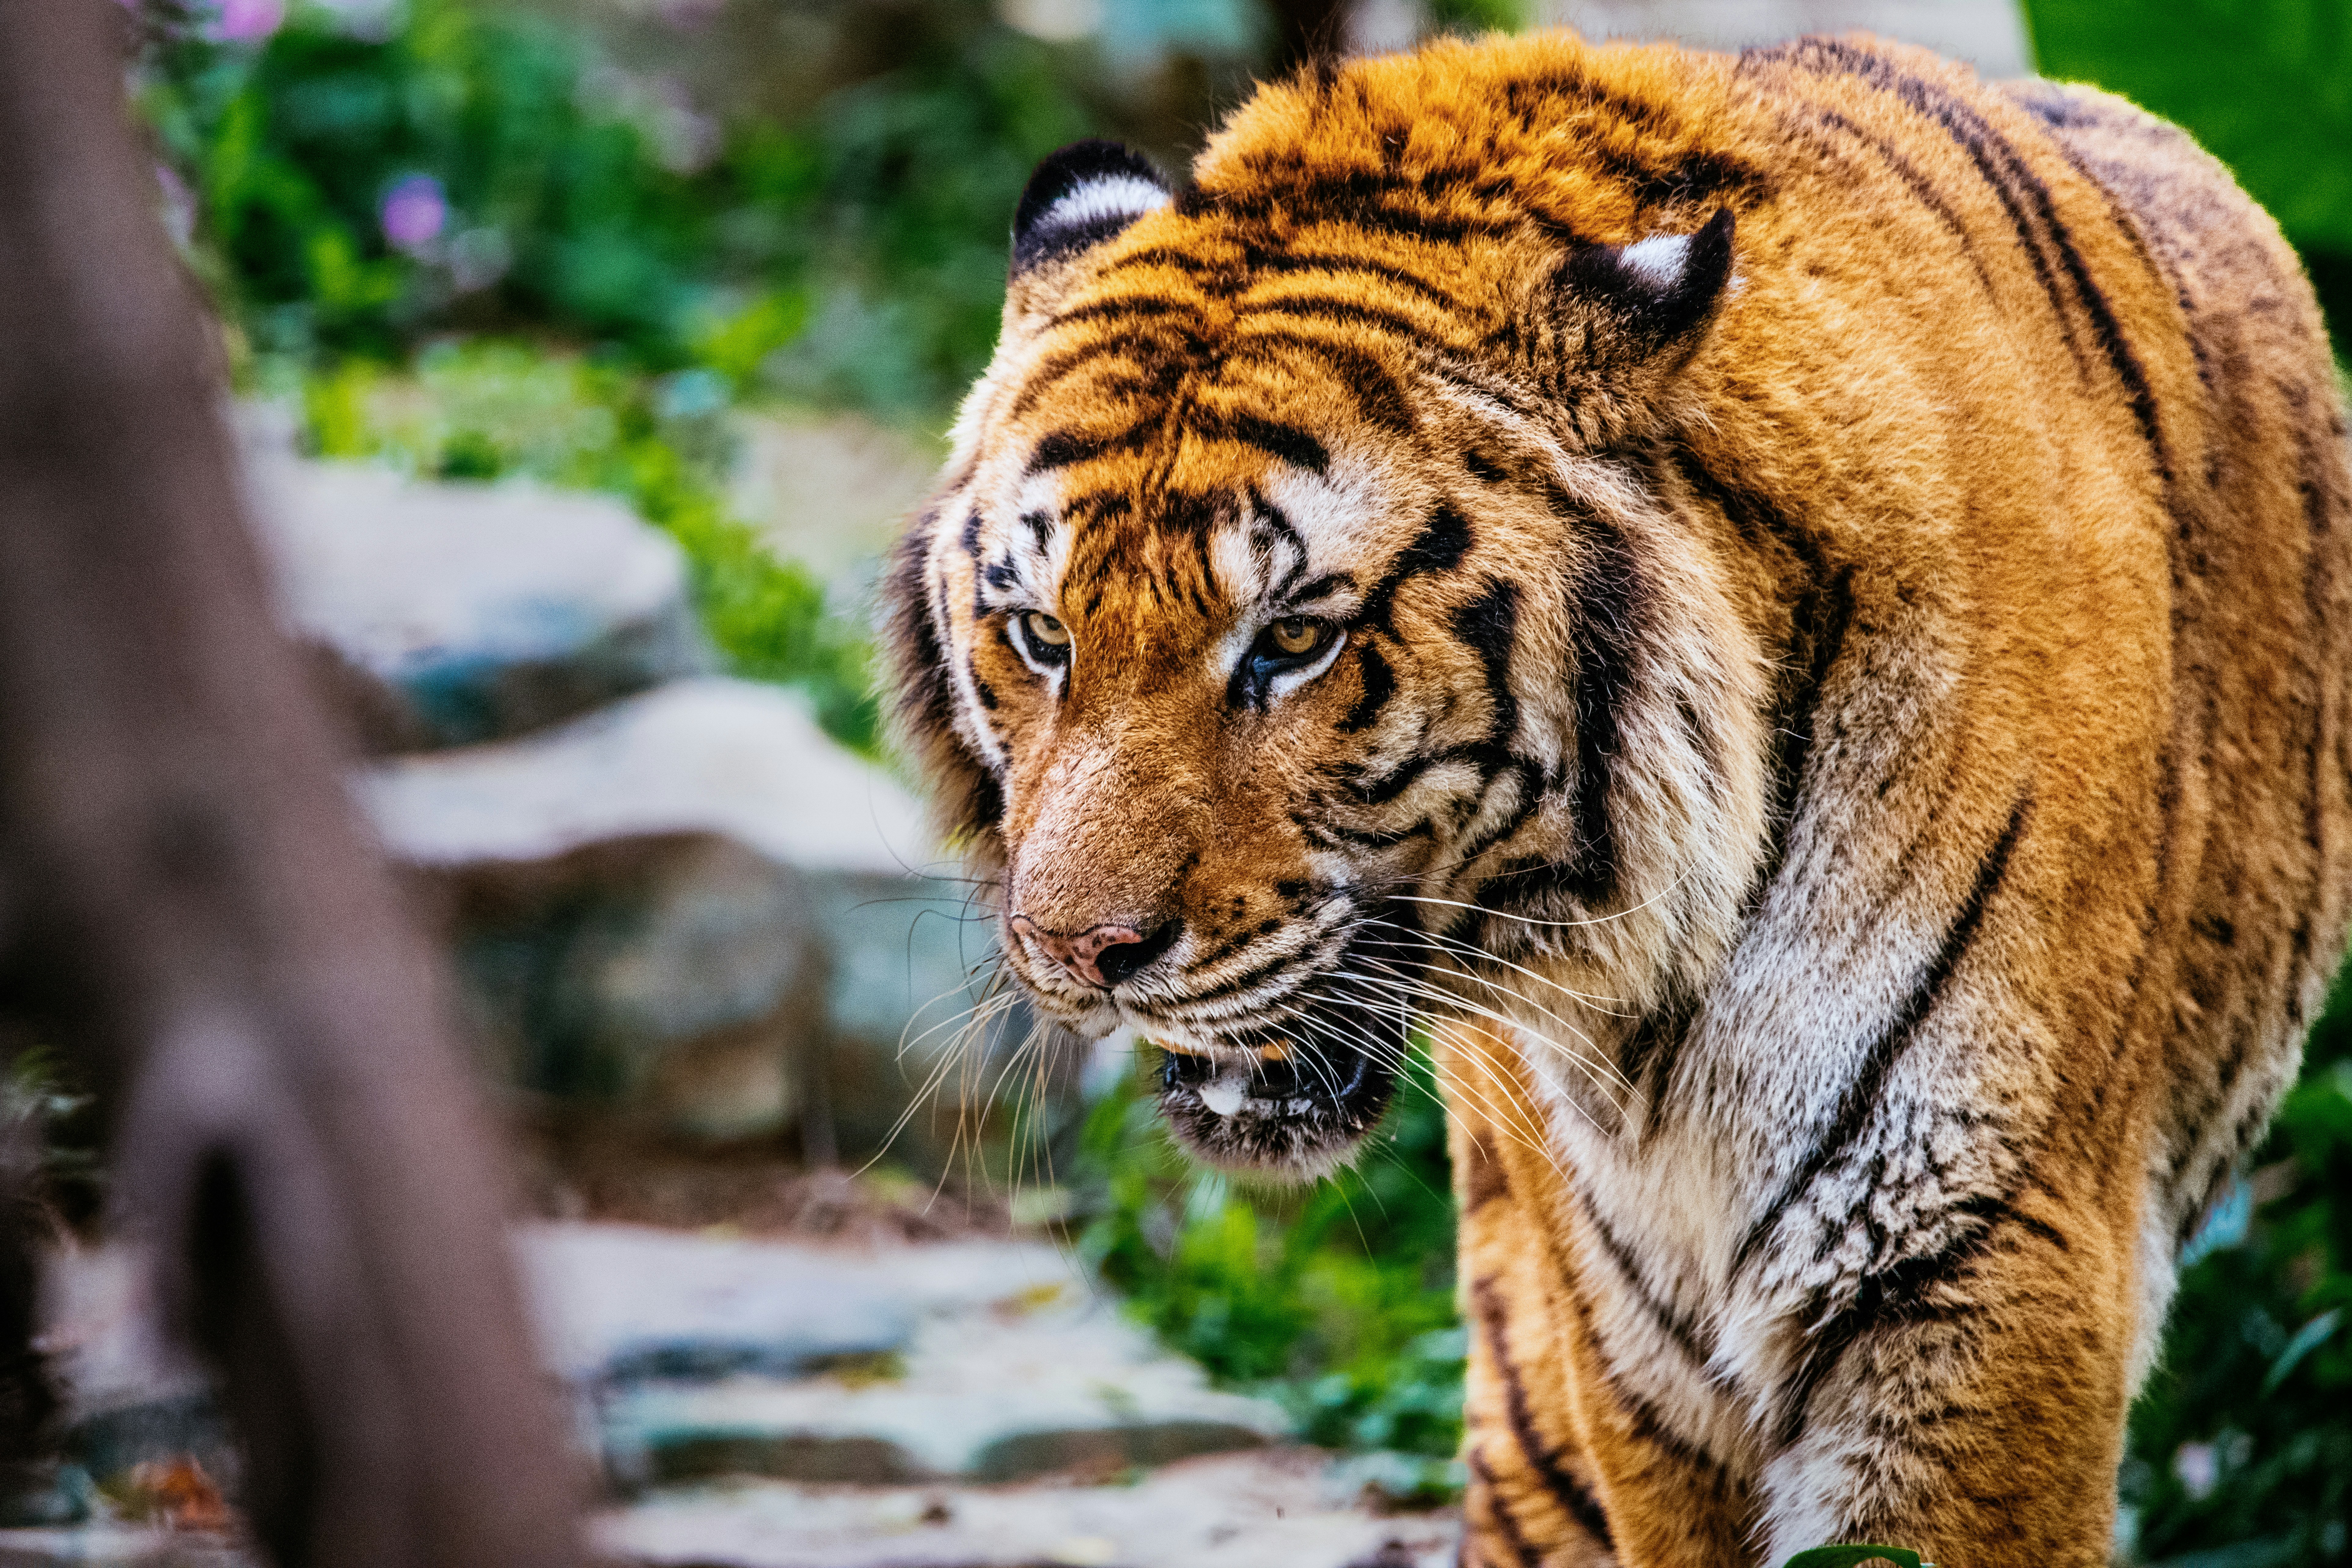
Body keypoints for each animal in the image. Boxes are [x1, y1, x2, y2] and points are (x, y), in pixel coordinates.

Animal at [880, 26, 2352, 1568]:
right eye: (1040, 634)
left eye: (1291, 640)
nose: (1074, 954)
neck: (1662, 995)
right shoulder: (1626, 1317)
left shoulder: (1979, 1259)